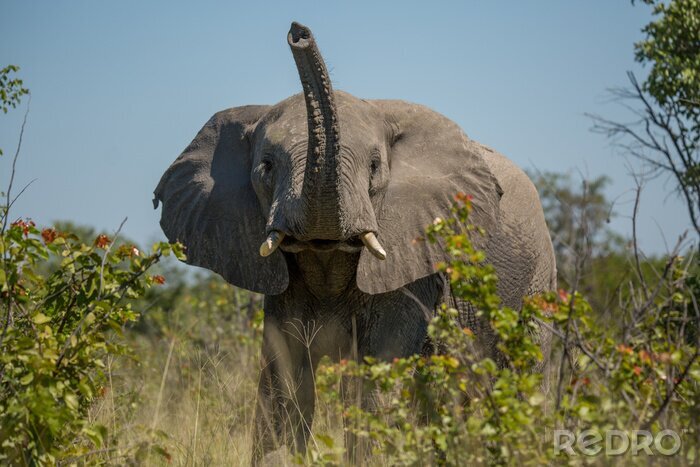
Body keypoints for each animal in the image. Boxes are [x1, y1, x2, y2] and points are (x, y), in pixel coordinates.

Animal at [154, 22, 556, 464]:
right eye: (266, 167)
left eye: (375, 167)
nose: (298, 33)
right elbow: (284, 381)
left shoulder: (411, 259)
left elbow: (376, 378)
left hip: (536, 282)